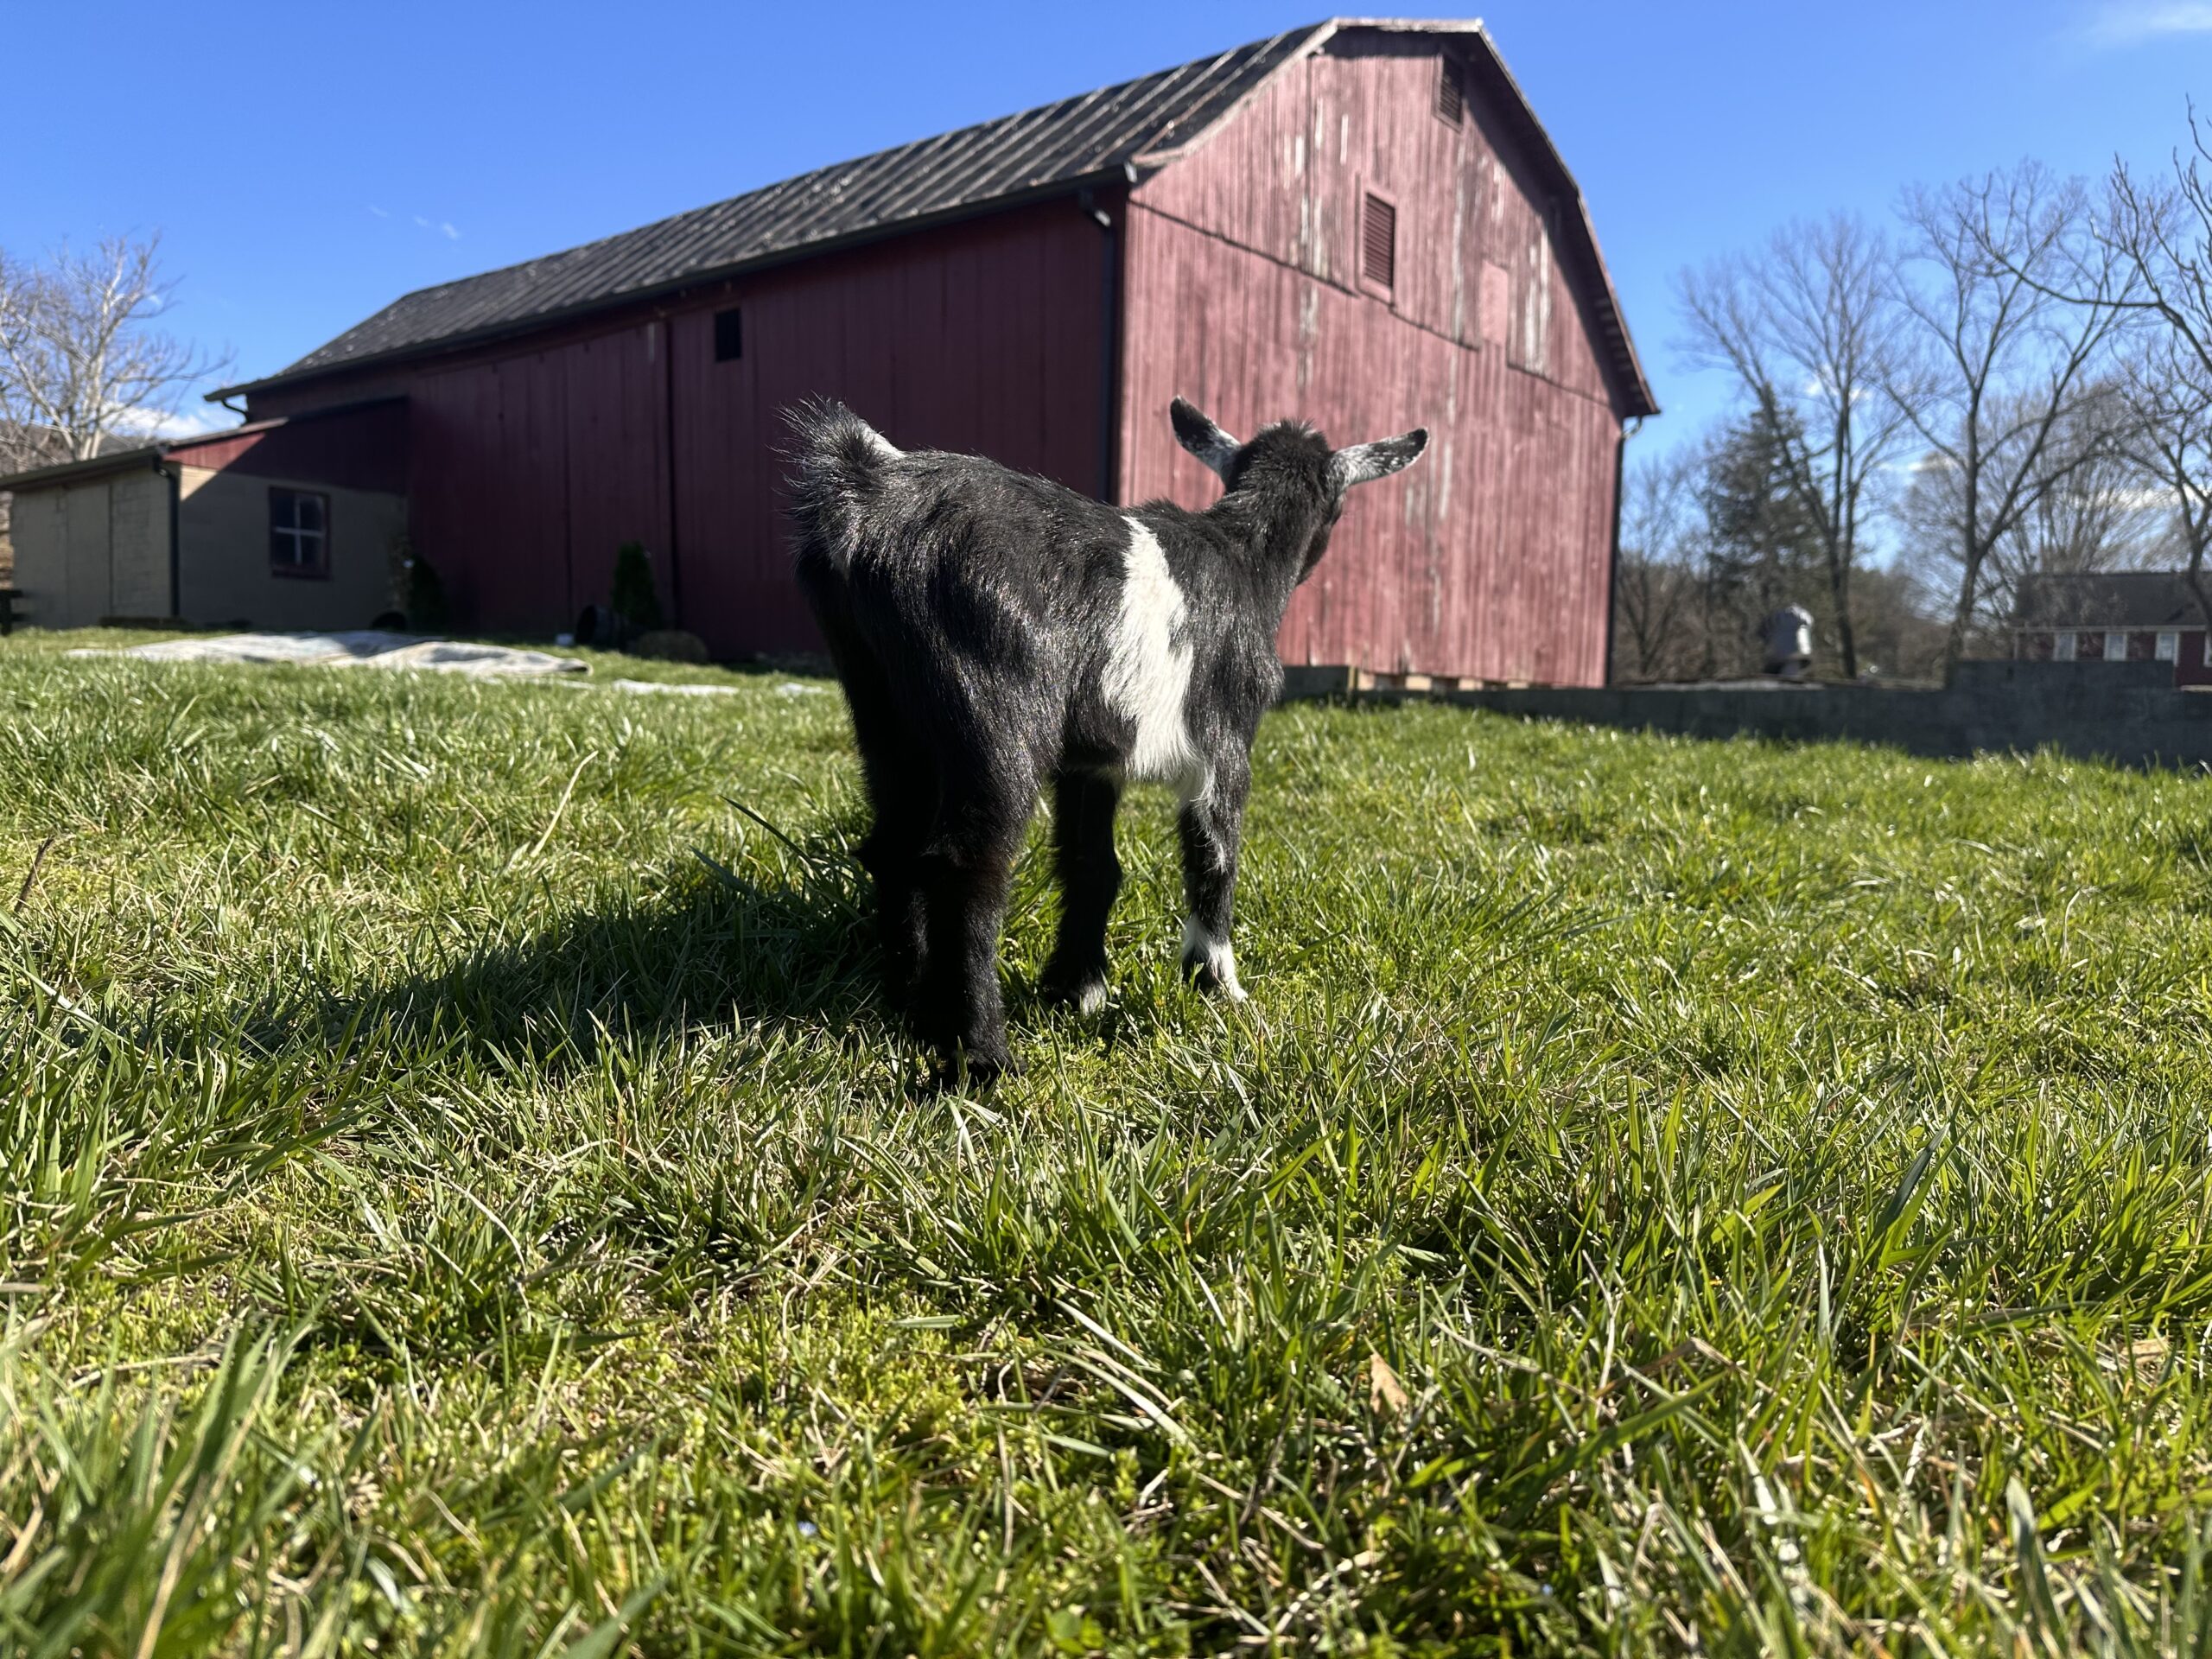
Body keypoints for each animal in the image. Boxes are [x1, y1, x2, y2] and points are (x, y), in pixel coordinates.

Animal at [787, 396, 1427, 1082]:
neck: (1243, 556)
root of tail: (872, 497)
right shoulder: (1225, 747)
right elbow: (1214, 857)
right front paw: (1218, 987)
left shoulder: (1093, 763)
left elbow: (1092, 863)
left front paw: (1077, 989)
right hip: (994, 711)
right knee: (967, 868)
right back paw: (984, 1054)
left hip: (884, 709)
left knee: (892, 846)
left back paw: (912, 1009)